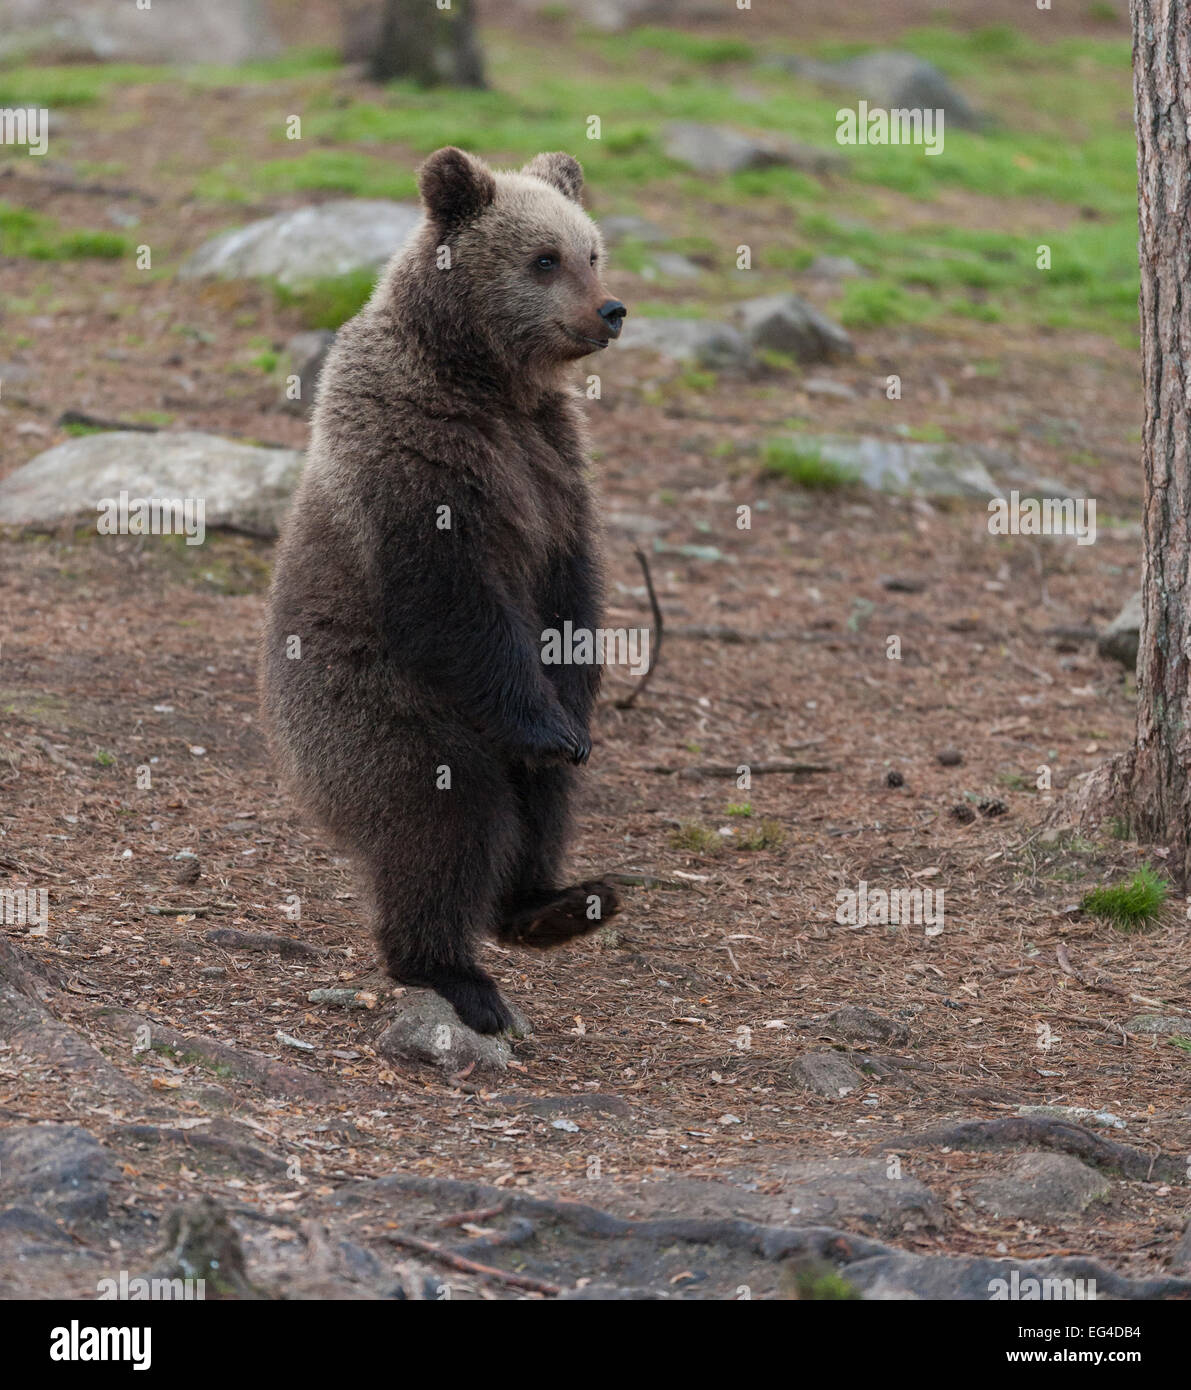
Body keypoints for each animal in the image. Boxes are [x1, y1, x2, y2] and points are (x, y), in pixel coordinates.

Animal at [260, 147, 628, 1034]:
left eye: (591, 248)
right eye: (543, 258)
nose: (610, 310)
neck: (487, 379)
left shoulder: (552, 464)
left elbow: (572, 596)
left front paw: (572, 722)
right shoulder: (415, 457)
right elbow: (453, 597)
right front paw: (548, 726)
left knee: (543, 806)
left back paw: (557, 904)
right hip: (385, 708)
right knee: (444, 819)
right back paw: (455, 972)